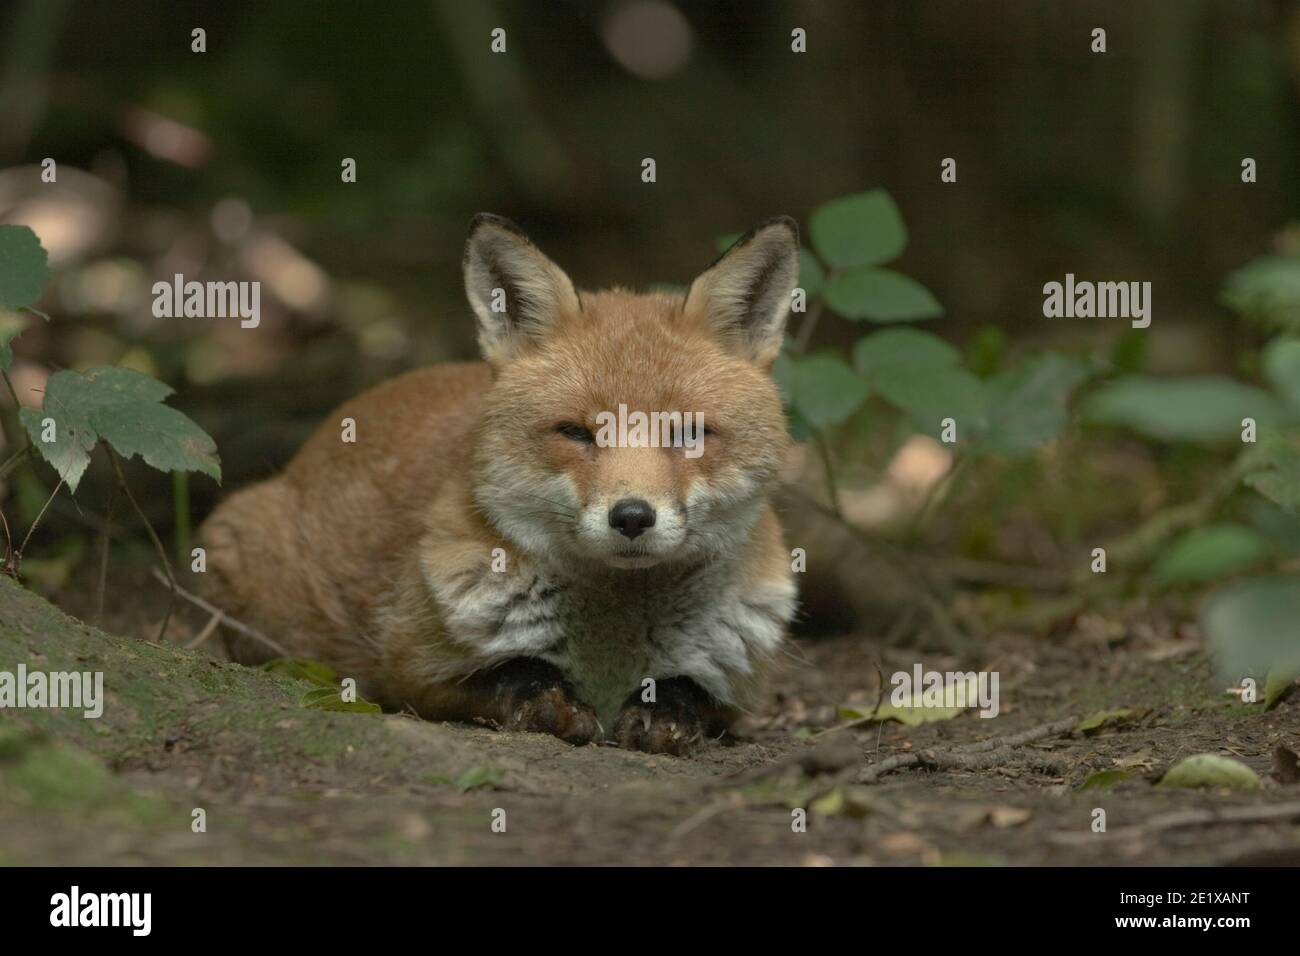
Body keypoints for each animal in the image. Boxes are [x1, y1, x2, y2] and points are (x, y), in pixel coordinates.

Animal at [197, 213, 801, 755]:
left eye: (689, 433)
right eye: (575, 432)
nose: (632, 517)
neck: (613, 646)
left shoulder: (739, 684)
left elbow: (688, 689)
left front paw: (664, 715)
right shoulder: (411, 668)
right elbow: (514, 671)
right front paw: (551, 703)